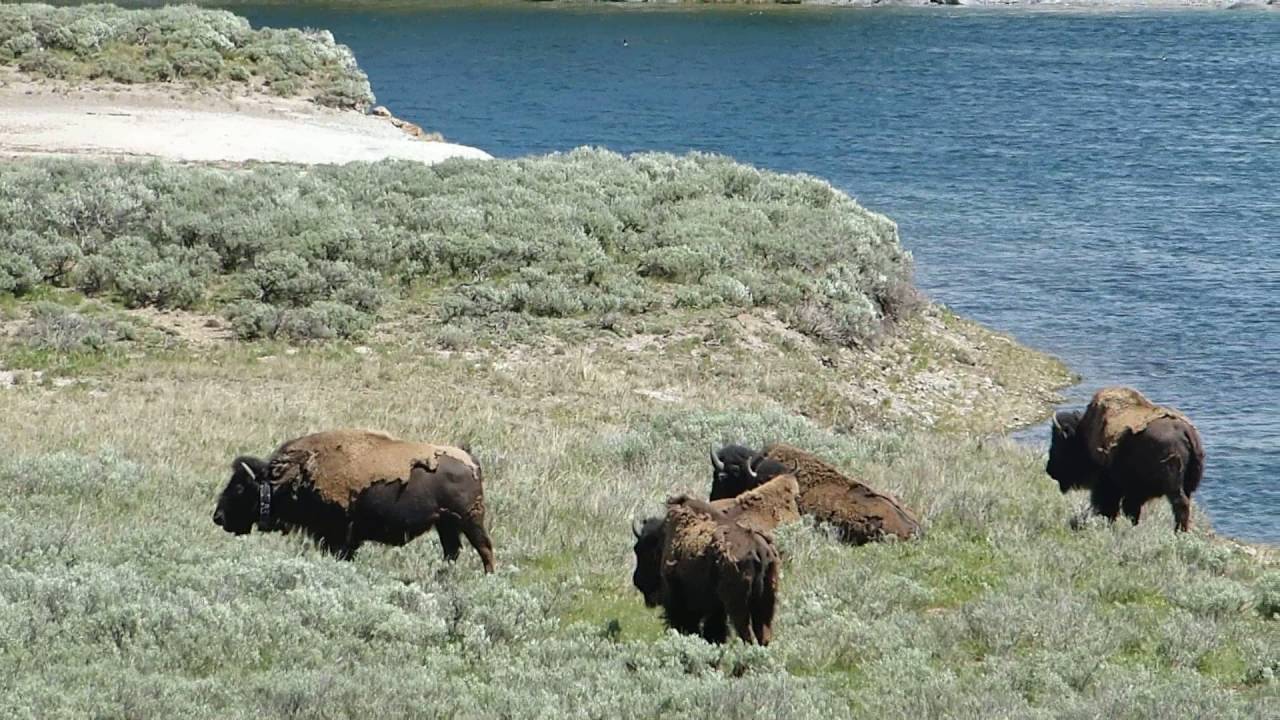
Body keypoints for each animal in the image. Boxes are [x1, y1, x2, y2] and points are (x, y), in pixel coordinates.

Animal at [213, 428, 495, 571]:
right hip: (446, 524)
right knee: (452, 551)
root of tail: (471, 460)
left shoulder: (340, 536)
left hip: (469, 520)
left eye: (240, 487)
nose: (218, 516)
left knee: (484, 549)